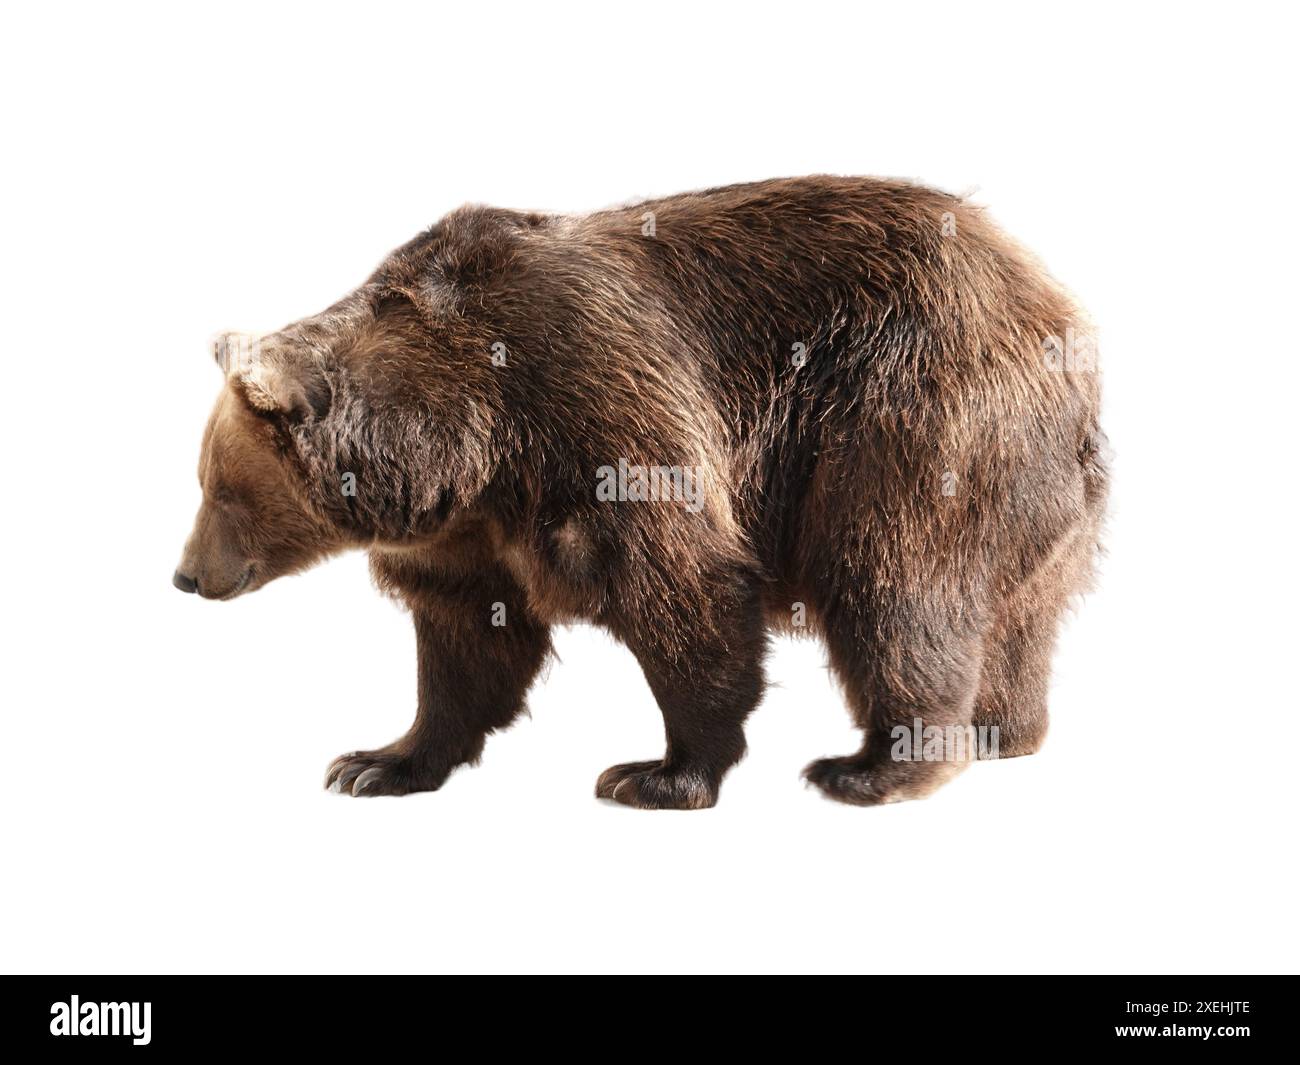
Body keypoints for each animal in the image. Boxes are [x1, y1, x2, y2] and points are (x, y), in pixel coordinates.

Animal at [174, 176, 1107, 809]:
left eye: (219, 490)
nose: (185, 574)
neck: (468, 438)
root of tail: (1058, 314)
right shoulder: (467, 533)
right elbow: (467, 643)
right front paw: (377, 760)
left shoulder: (598, 399)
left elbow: (684, 584)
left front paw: (657, 771)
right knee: (1016, 610)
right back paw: (1000, 731)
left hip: (915, 407)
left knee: (895, 578)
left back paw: (874, 765)